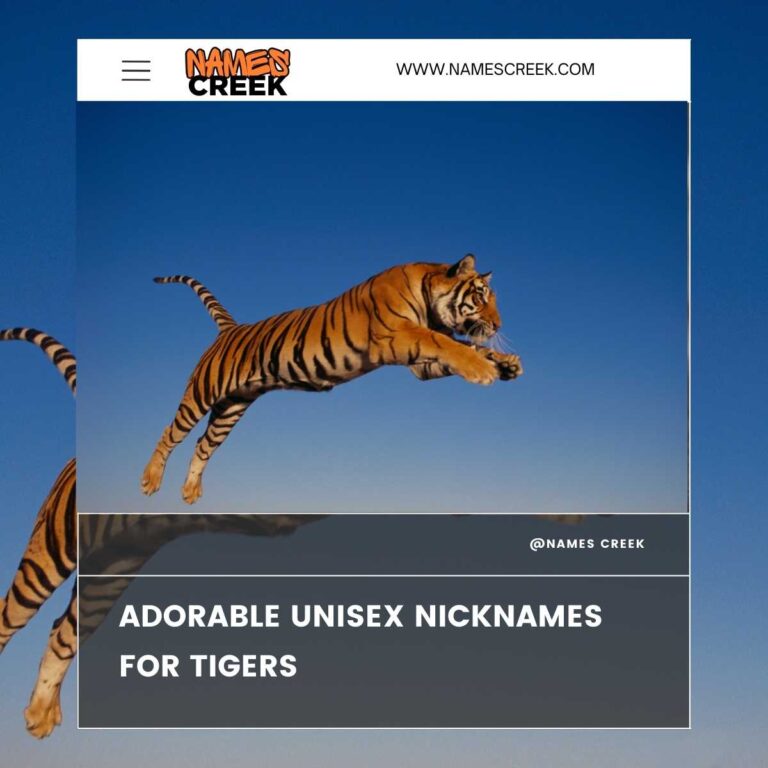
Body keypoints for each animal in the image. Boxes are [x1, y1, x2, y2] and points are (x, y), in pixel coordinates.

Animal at [141, 254, 523, 504]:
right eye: (479, 297)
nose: (499, 325)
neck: (429, 300)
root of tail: (230, 328)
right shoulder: (398, 337)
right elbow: (448, 343)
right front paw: (483, 369)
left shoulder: (419, 365)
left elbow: (463, 346)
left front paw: (506, 364)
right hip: (201, 393)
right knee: (170, 432)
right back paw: (150, 480)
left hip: (232, 407)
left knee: (203, 444)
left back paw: (190, 492)